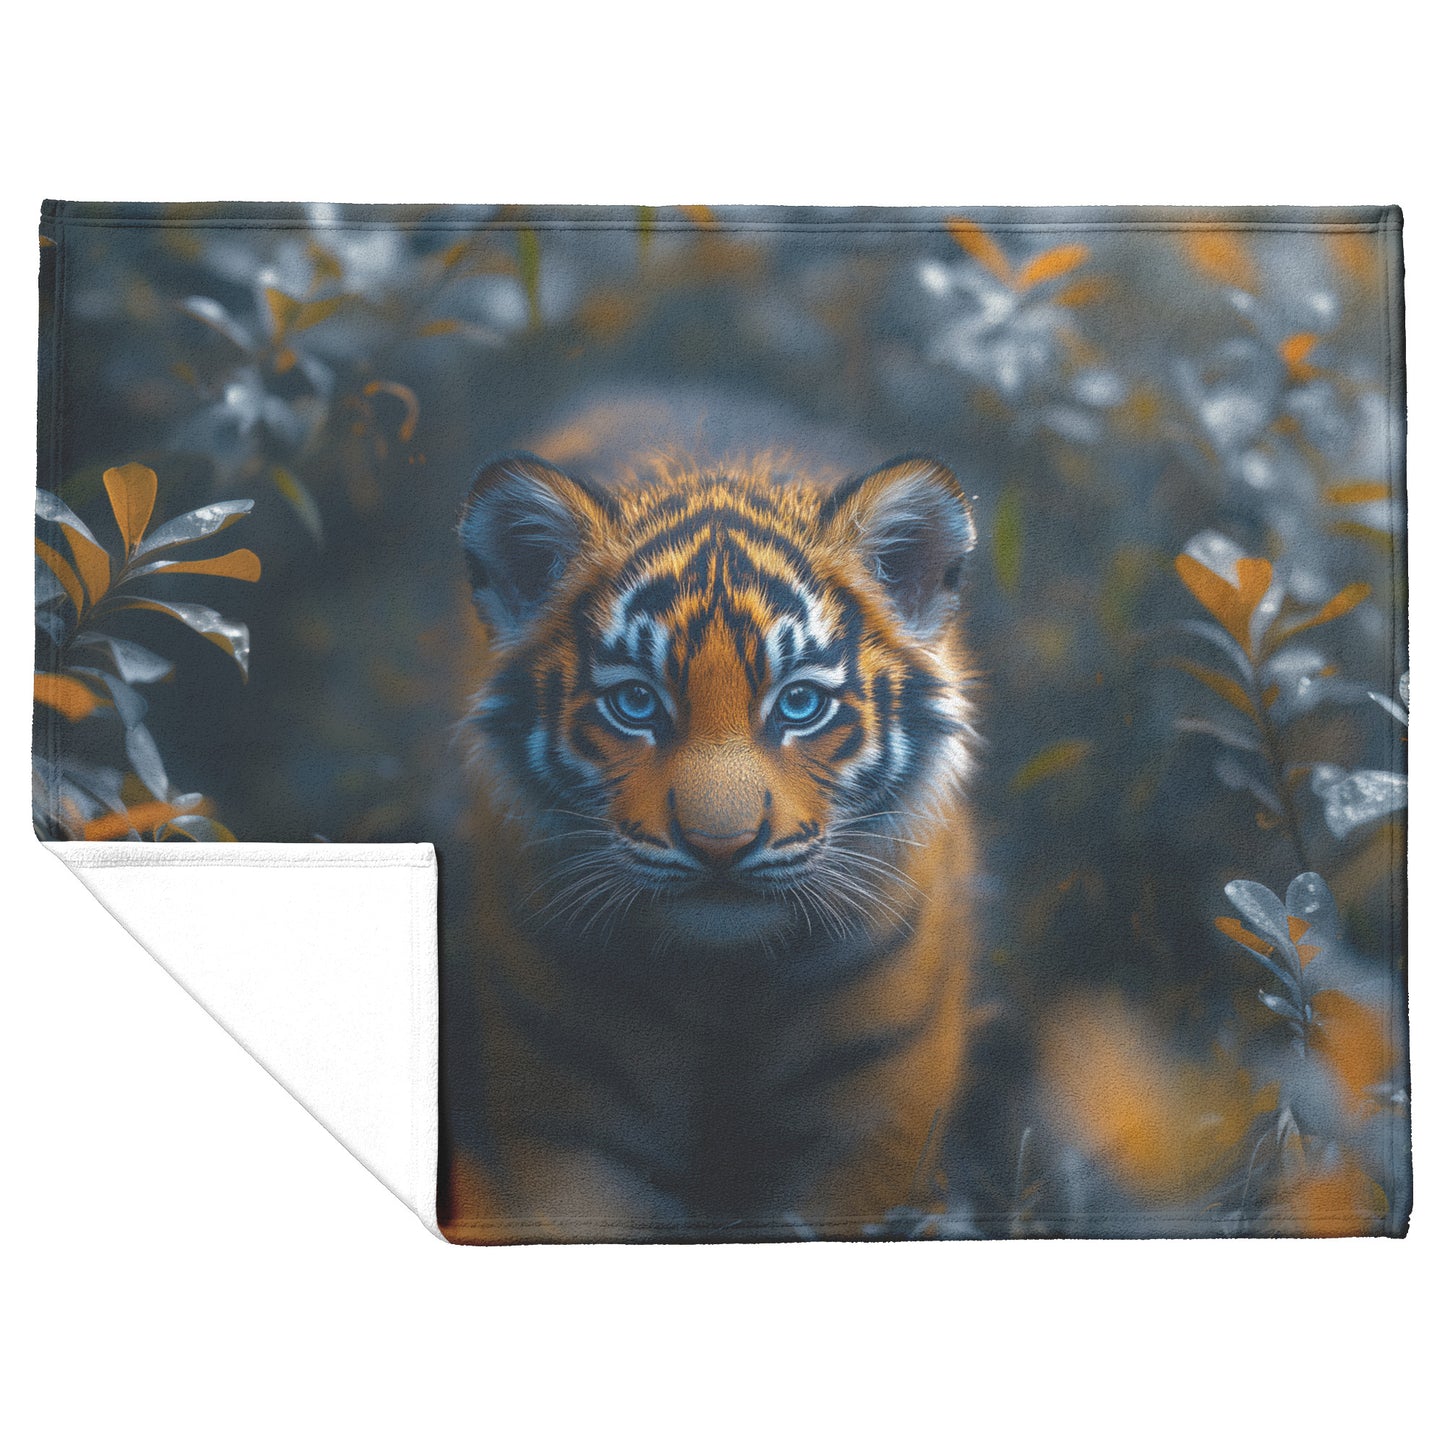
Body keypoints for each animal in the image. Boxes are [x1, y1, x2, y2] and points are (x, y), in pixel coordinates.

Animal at [440, 397, 982, 1242]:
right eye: (635, 703)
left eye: (800, 702)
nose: (720, 845)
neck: (725, 984)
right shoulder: (569, 1129)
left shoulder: (871, 1129)